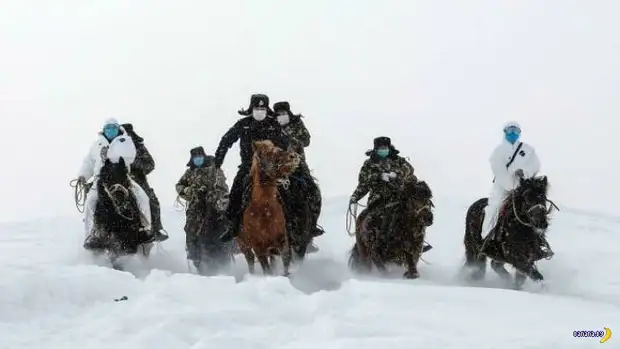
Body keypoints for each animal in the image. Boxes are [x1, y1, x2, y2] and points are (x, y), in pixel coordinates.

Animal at [236, 140, 302, 276]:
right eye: (267, 153)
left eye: (278, 147)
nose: (293, 156)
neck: (264, 210)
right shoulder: (258, 248)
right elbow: (267, 269)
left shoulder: (282, 240)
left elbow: (286, 260)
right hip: (244, 246)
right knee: (250, 260)